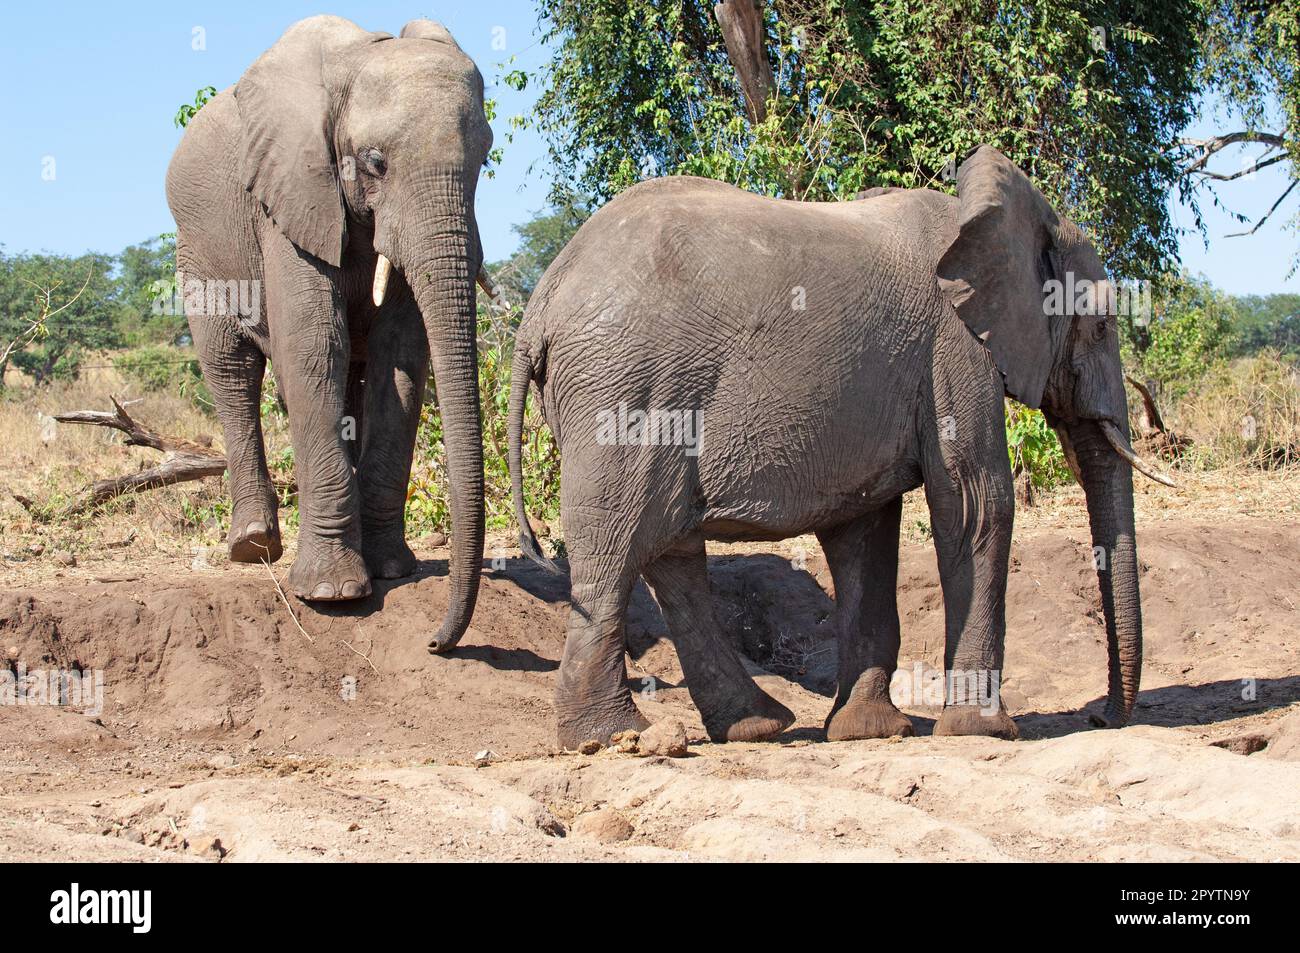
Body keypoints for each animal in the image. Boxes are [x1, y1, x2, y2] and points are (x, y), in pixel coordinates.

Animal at [166, 15, 490, 646]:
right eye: (375, 162)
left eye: (485, 160)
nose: (436, 640)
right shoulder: (288, 197)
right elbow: (314, 346)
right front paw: (332, 594)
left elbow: (400, 356)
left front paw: (392, 570)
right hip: (196, 251)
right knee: (233, 370)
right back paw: (253, 546)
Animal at [507, 145, 1173, 749]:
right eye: (1102, 326)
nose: (1102, 717)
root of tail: (542, 302)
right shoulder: (955, 350)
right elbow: (976, 505)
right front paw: (982, 732)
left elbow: (865, 530)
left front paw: (869, 731)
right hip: (627, 394)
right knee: (617, 549)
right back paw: (615, 738)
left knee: (668, 551)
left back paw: (752, 727)